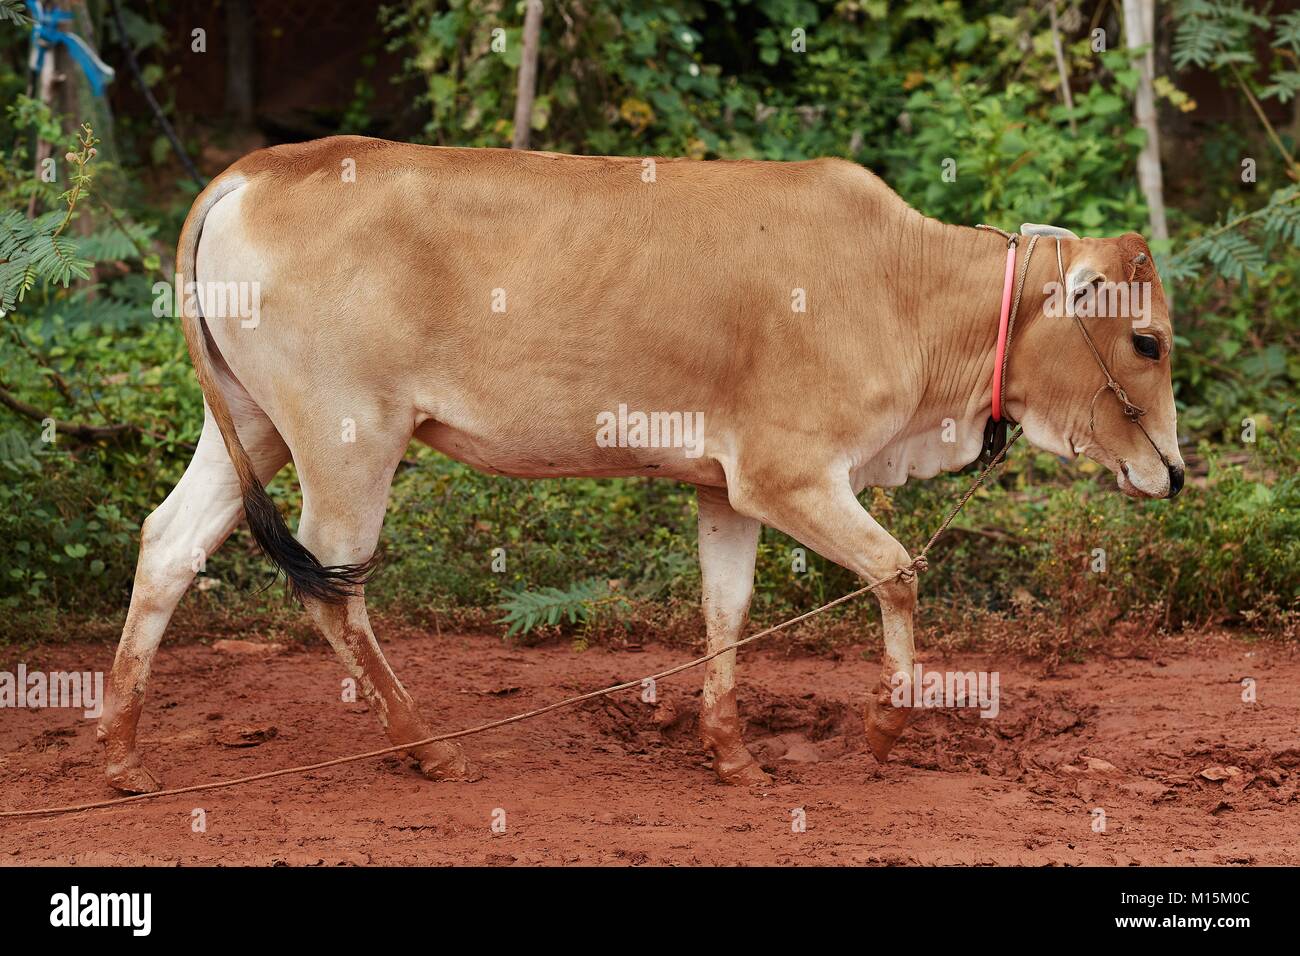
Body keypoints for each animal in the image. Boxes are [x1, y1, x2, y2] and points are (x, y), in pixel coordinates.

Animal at [97, 136, 1183, 793]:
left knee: (168, 544)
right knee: (332, 582)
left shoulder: (726, 488)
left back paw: (121, 754)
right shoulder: (789, 476)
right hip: (348, 439)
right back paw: (429, 747)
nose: (1173, 475)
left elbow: (725, 611)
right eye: (1148, 342)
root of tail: (253, 170)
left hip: (250, 422)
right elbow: (897, 573)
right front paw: (881, 731)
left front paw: (732, 753)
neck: (907, 289)